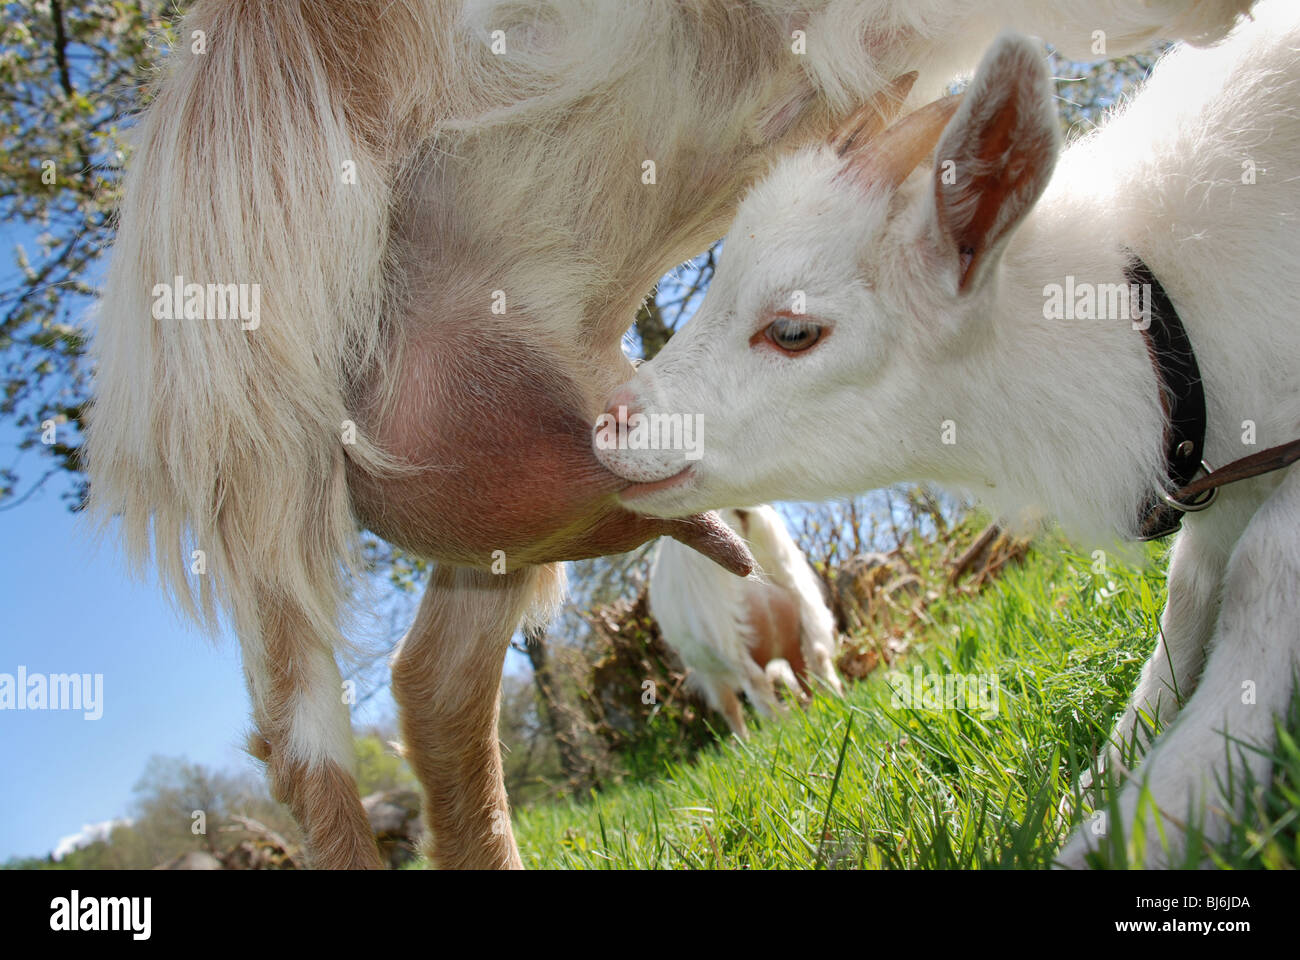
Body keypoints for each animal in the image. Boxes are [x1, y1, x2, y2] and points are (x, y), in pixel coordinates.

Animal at [650, 505, 841, 737]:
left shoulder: (707, 671)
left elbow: (728, 707)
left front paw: (742, 739)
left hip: (723, 631)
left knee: (756, 684)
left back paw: (782, 728)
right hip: (802, 597)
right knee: (818, 656)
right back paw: (833, 704)